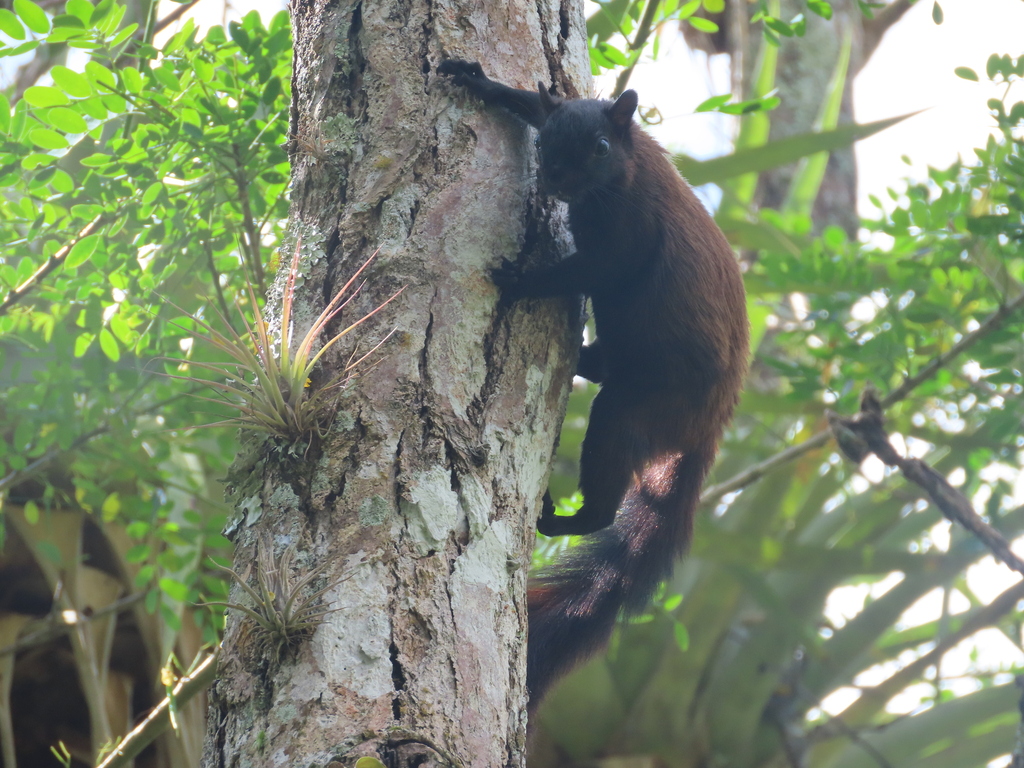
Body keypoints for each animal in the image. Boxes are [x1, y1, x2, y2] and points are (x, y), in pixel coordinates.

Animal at [438, 60, 749, 707]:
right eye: (548, 141)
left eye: (601, 147)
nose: (556, 179)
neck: (625, 172)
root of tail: (709, 429)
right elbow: (535, 101)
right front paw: (478, 80)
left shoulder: (628, 235)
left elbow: (589, 270)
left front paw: (516, 280)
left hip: (630, 410)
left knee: (605, 503)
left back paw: (563, 519)